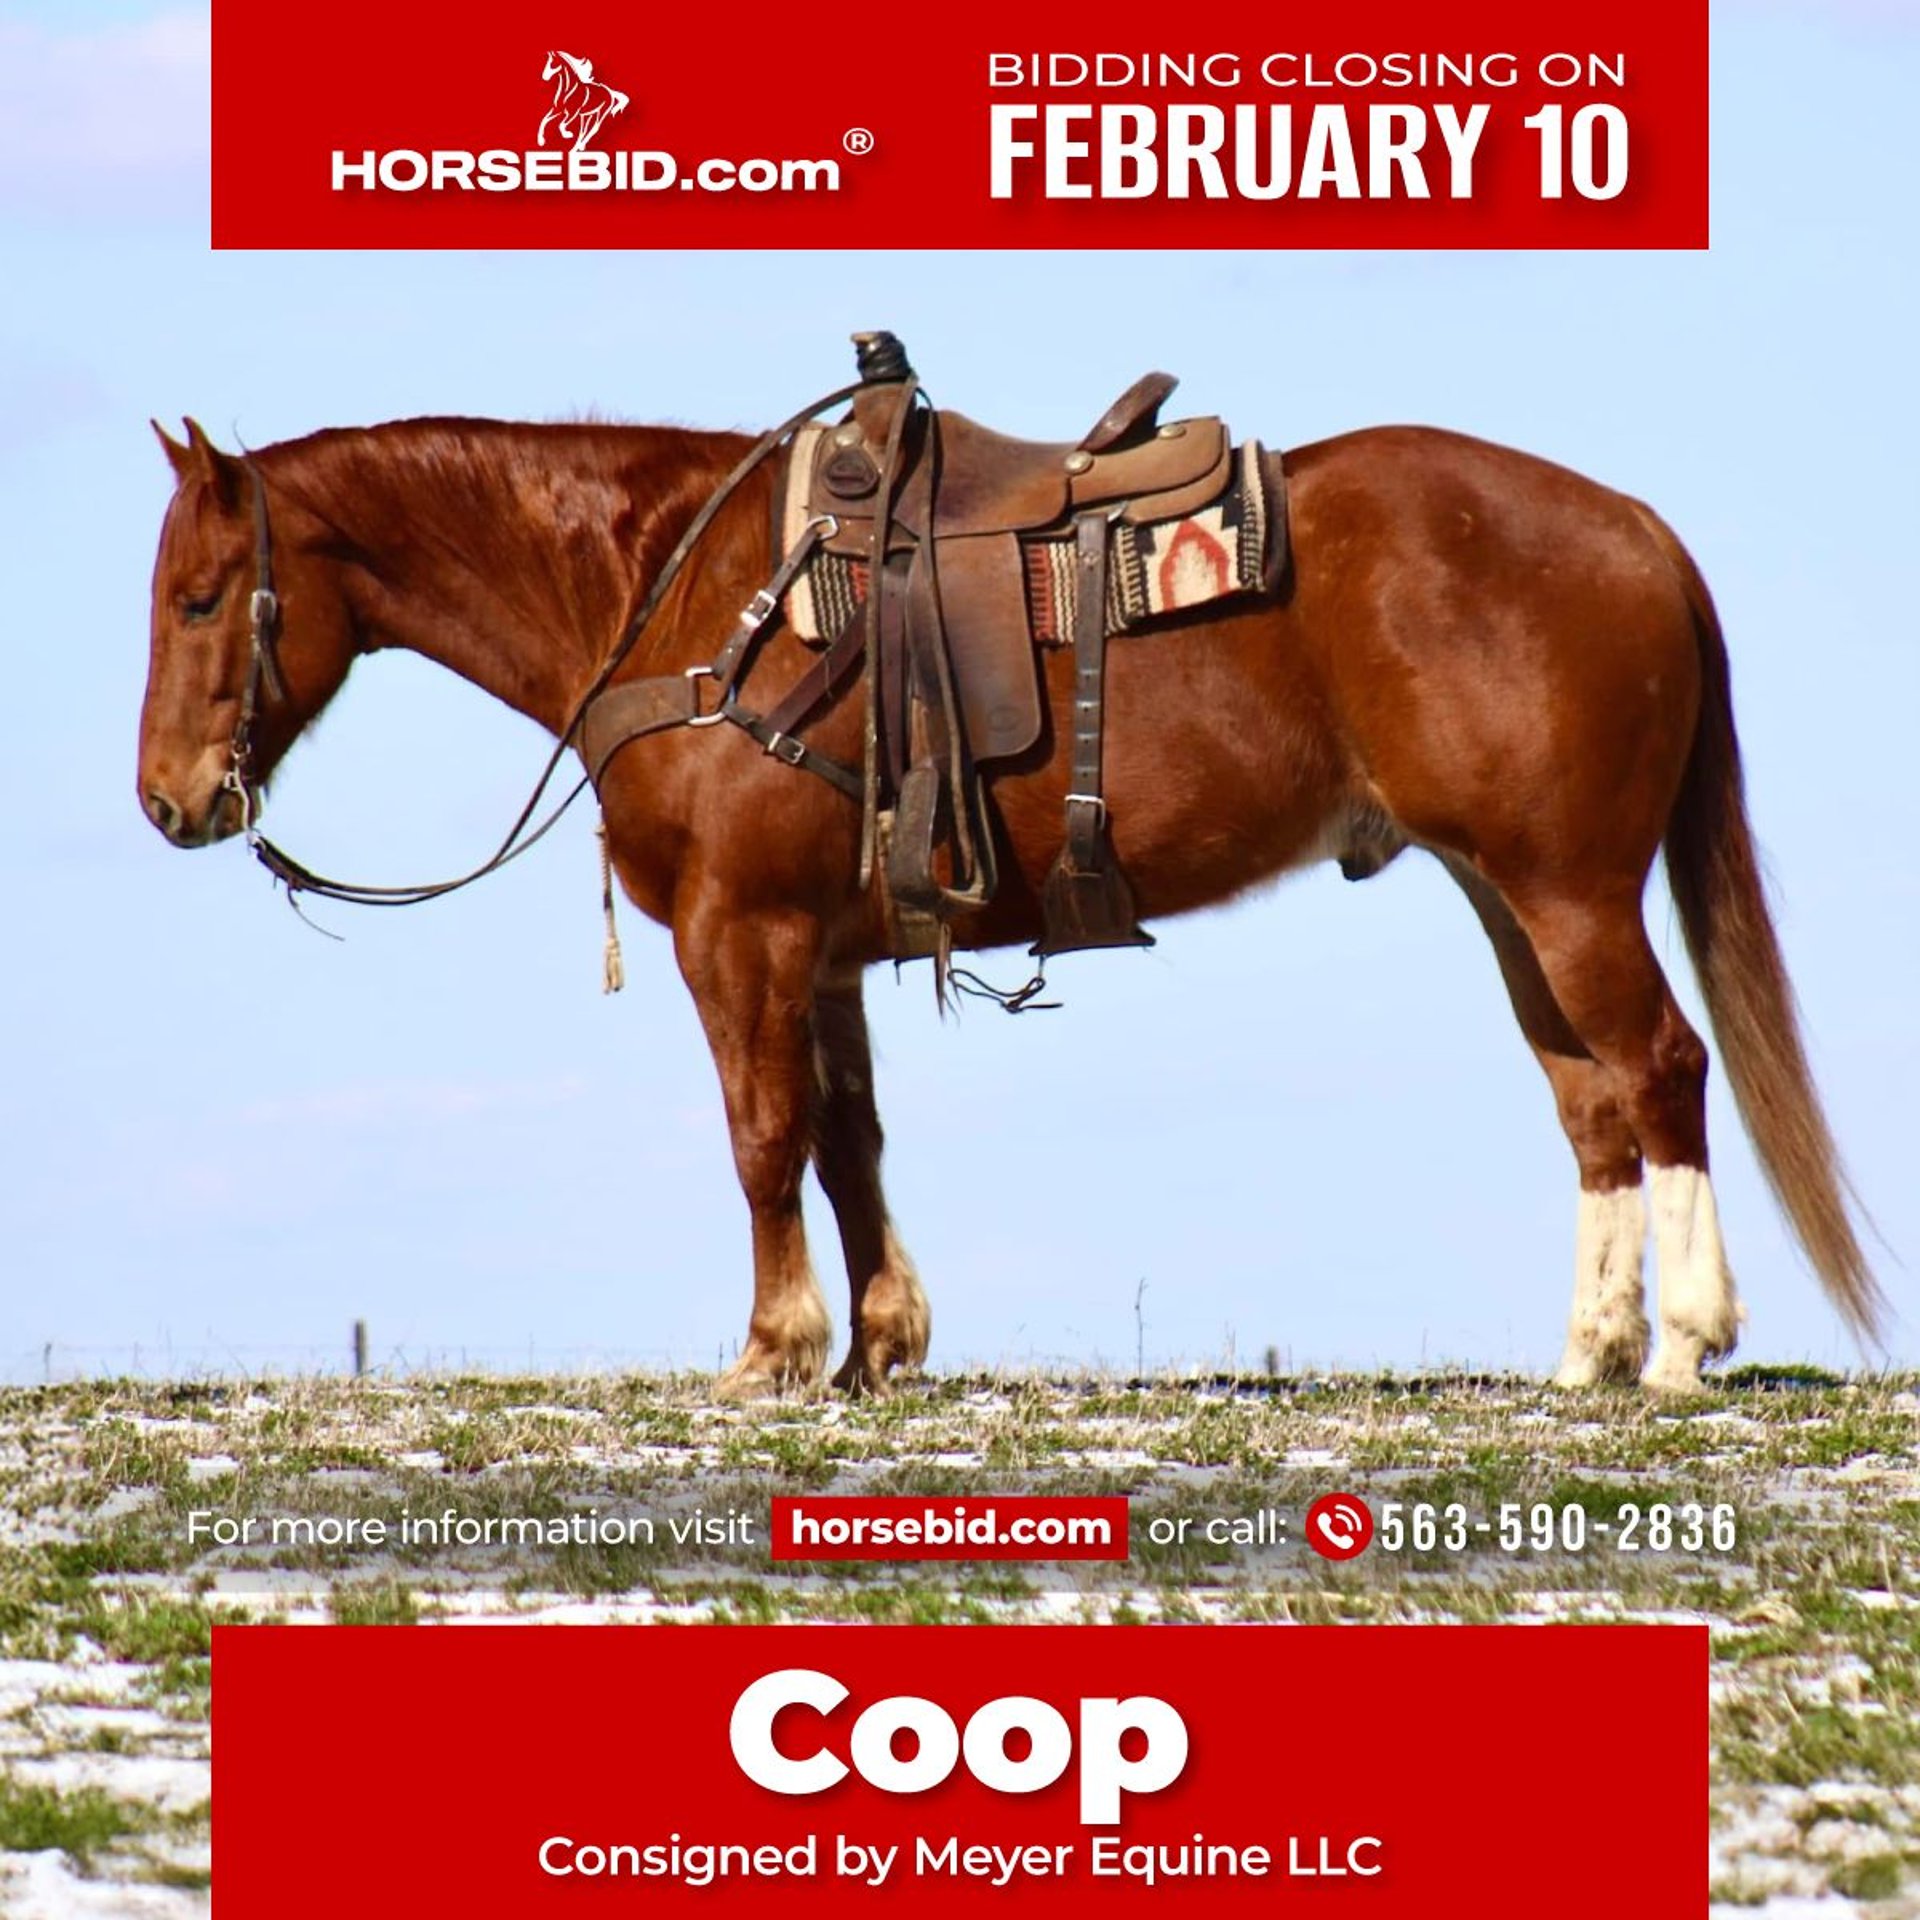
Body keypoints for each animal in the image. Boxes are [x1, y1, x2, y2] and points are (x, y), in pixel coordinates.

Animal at [137, 403, 1884, 1398]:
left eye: (202, 597)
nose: (169, 803)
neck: (692, 601)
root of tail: (1636, 532)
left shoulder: (740, 936)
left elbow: (763, 1137)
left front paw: (771, 1352)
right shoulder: (824, 955)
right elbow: (847, 1142)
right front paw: (877, 1344)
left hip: (1570, 890)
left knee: (1660, 1069)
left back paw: (1685, 1346)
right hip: (1510, 901)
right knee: (1591, 1103)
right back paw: (1590, 1354)